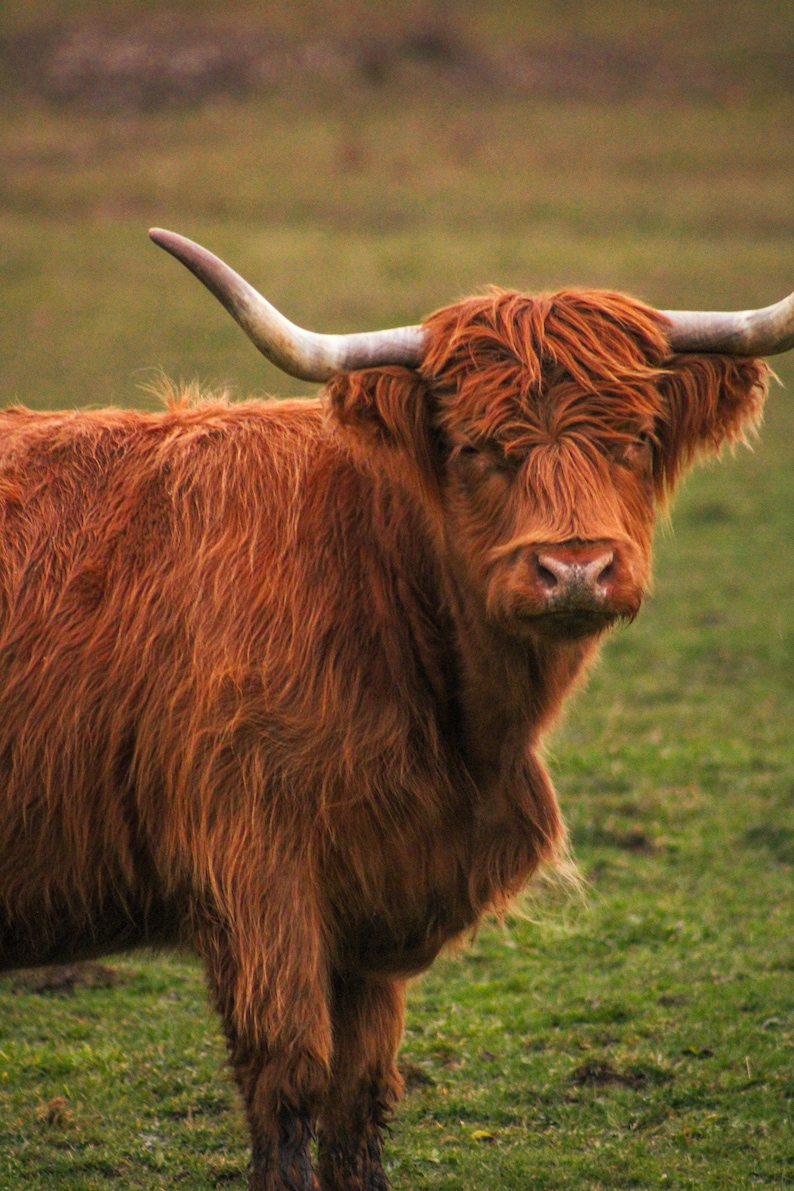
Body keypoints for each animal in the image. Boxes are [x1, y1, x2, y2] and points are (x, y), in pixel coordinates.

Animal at [1, 226, 792, 1191]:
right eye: (478, 447)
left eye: (636, 438)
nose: (574, 568)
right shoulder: (254, 869)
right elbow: (291, 1079)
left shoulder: (376, 899)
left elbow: (361, 1094)